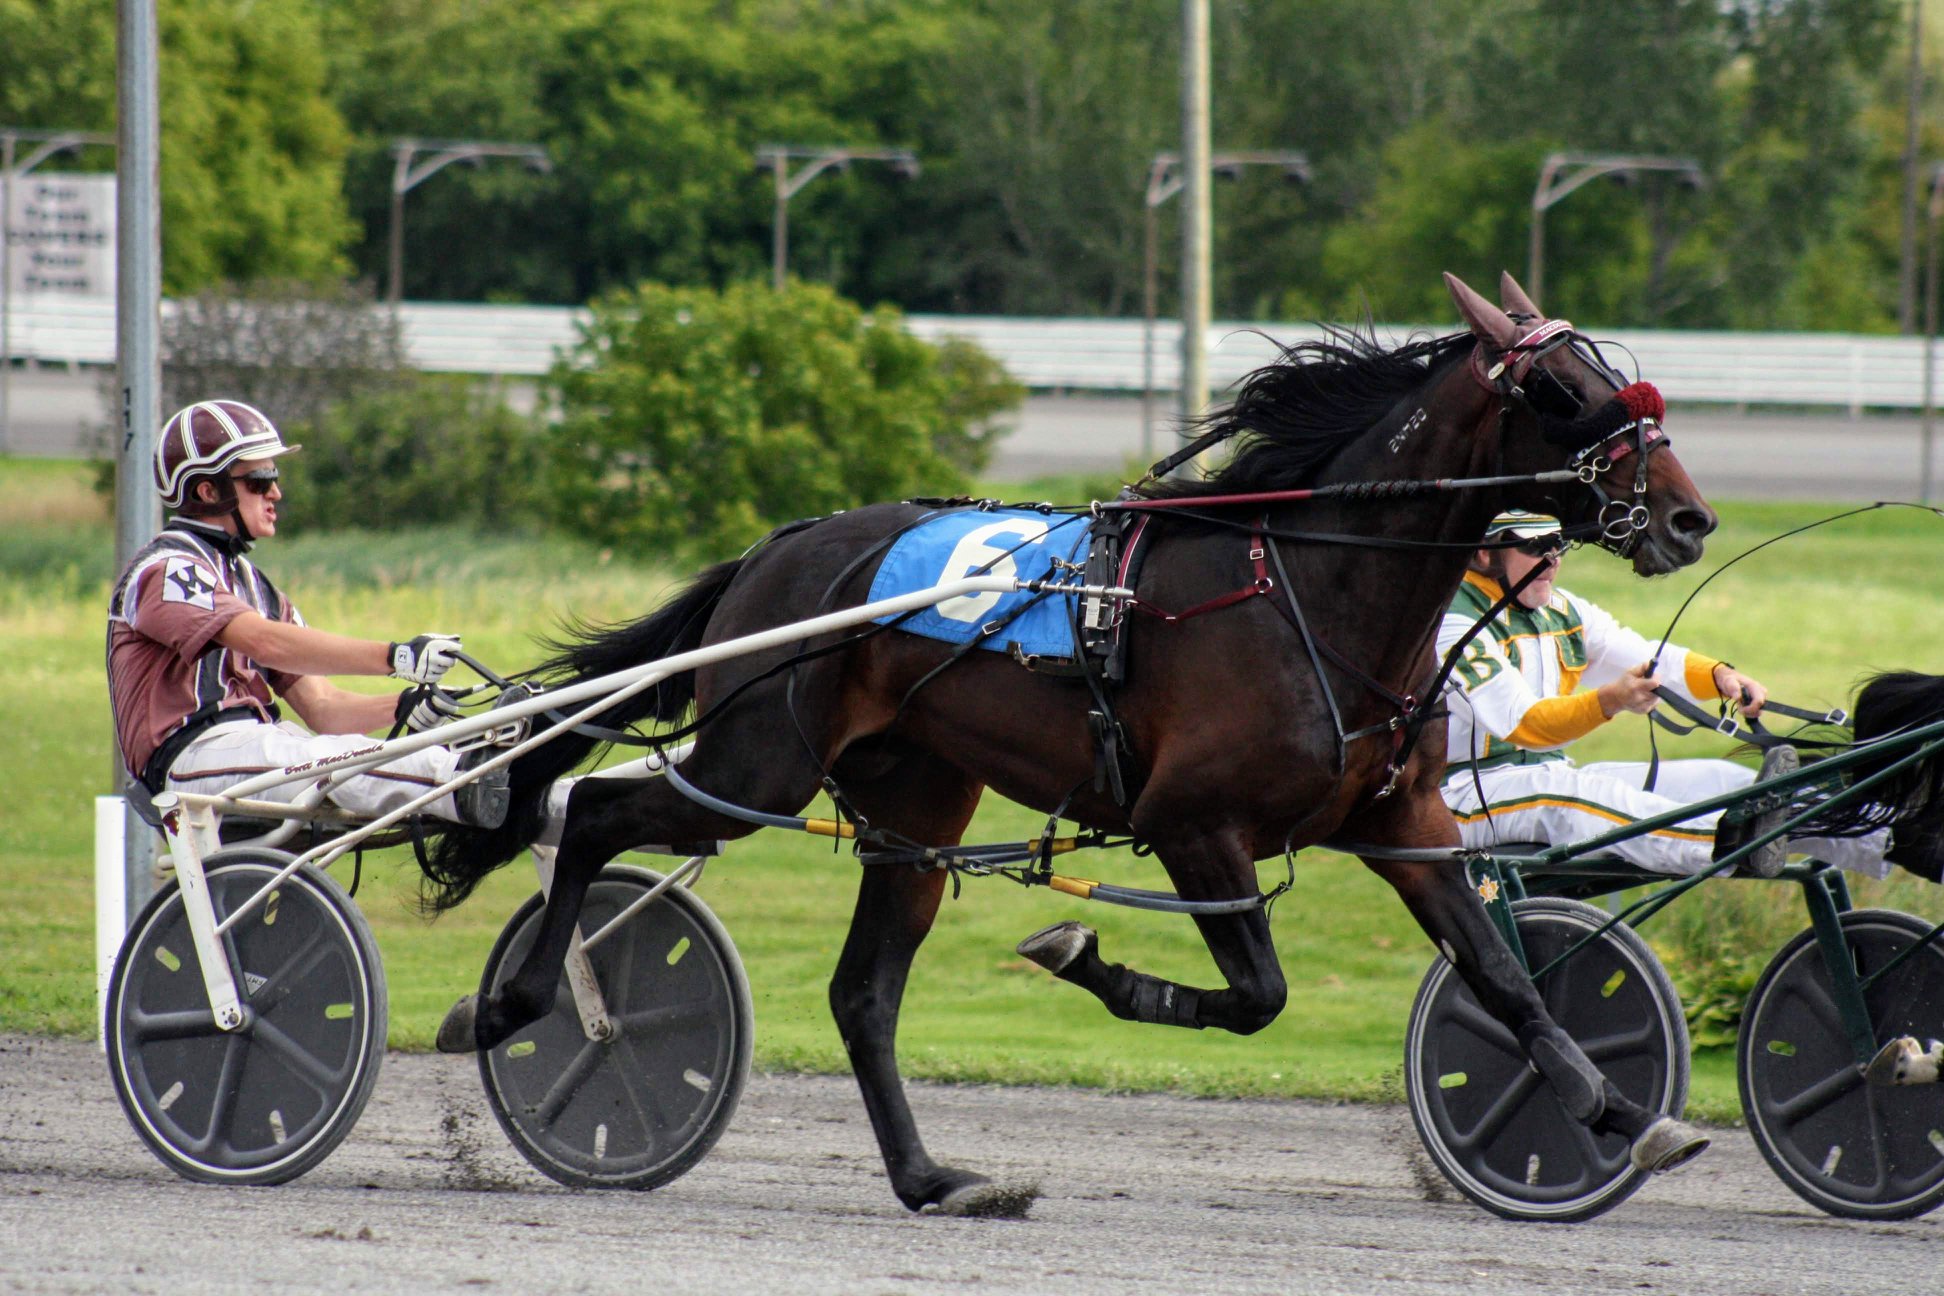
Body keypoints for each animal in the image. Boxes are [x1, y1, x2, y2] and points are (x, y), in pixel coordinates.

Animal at [424, 271, 1724, 1215]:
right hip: (758, 763)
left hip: (913, 803)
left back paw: (931, 1179)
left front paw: (1619, 1113)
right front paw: (1086, 956)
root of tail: (777, 550)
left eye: (1613, 372)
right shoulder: (1192, 825)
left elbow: (1502, 976)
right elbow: (1256, 994)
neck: (1312, 592)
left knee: (862, 996)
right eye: (1558, 388)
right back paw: (504, 1006)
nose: (1688, 515)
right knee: (595, 813)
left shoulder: (1403, 821)